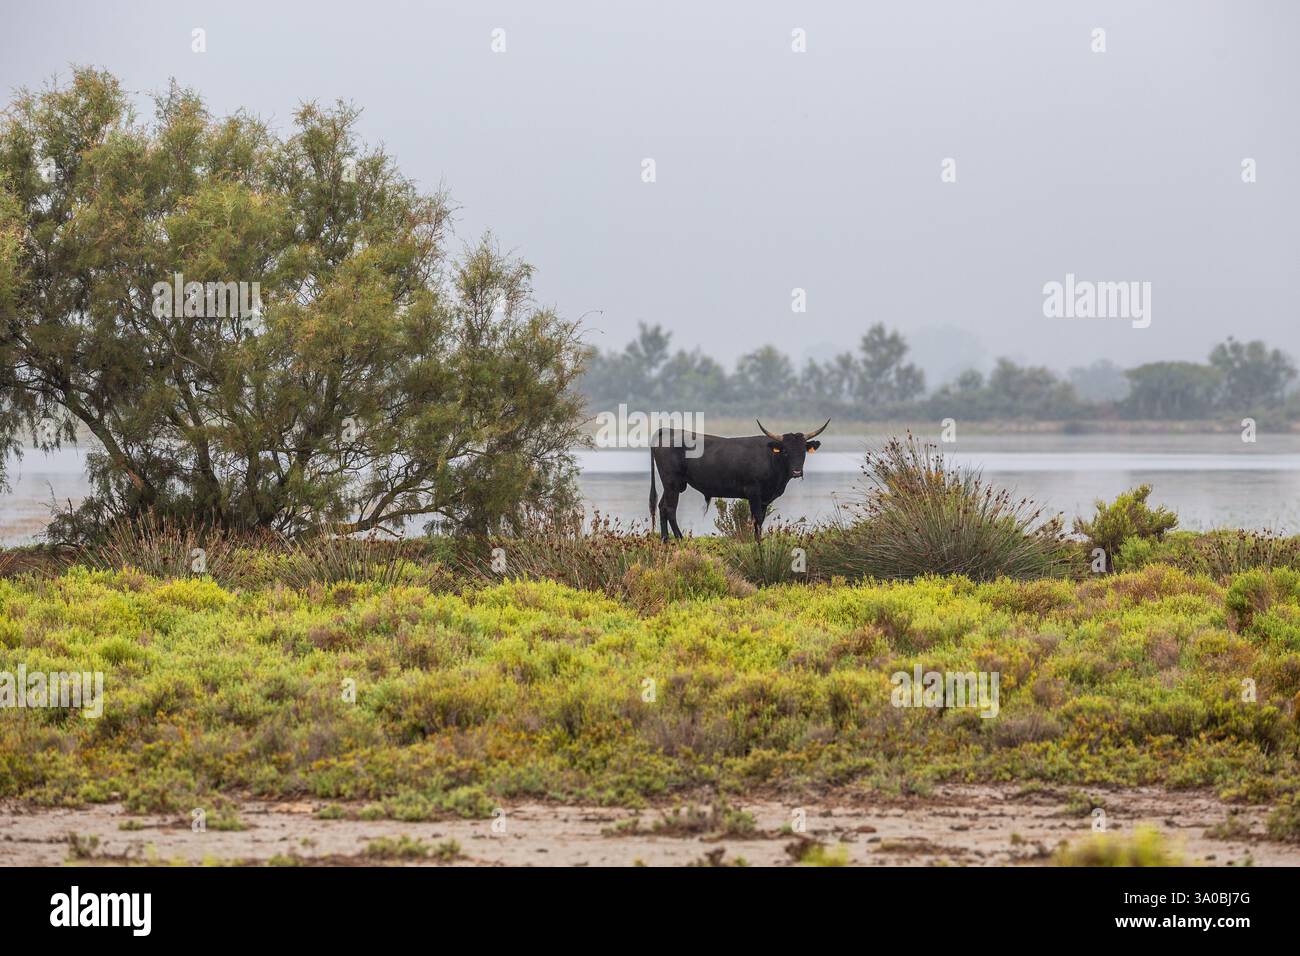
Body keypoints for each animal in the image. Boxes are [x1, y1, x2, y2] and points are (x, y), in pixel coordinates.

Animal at [649, 419, 829, 542]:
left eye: (803, 451)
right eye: (785, 451)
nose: (797, 471)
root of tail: (669, 430)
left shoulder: (765, 498)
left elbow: (761, 519)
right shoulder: (754, 493)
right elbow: (756, 518)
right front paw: (757, 542)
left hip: (674, 485)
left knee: (662, 506)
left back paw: (665, 539)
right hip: (672, 482)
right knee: (670, 508)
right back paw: (679, 538)